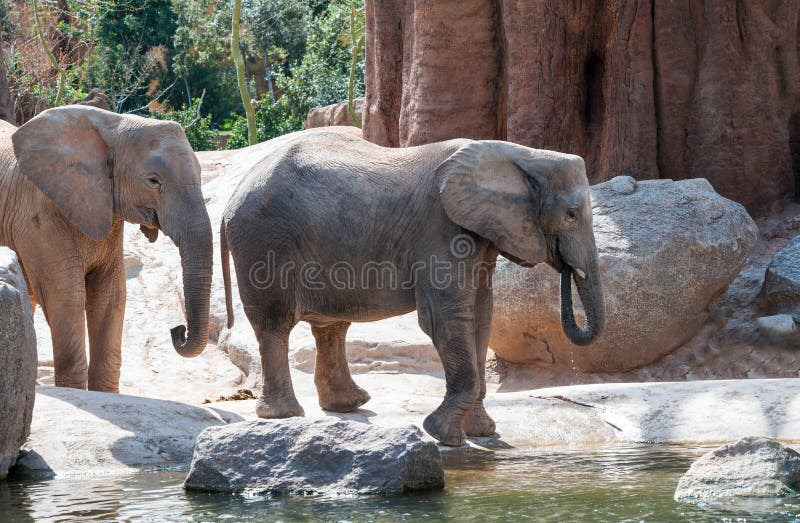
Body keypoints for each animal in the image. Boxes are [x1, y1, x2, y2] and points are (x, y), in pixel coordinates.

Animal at [0, 105, 213, 392]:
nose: (178, 330)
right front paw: (73, 391)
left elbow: (110, 296)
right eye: (153, 181)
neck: (113, 125)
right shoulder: (37, 215)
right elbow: (66, 295)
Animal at [220, 128, 604, 446]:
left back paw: (348, 404)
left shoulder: (479, 234)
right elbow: (445, 318)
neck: (522, 155)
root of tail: (229, 202)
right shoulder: (442, 230)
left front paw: (482, 433)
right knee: (275, 324)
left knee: (330, 326)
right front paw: (442, 435)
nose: (566, 267)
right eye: (571, 214)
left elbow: (482, 315)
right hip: (265, 241)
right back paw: (283, 415)